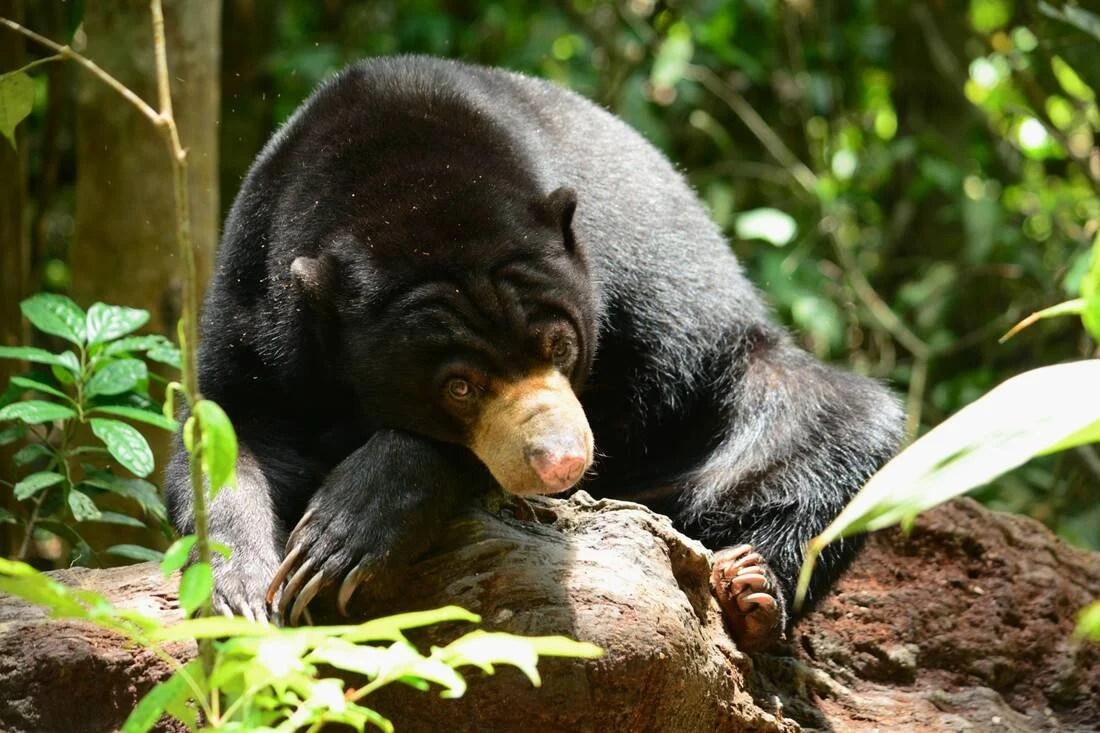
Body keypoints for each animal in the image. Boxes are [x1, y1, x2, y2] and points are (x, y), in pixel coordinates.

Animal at [165, 55, 904, 651]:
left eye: (560, 344)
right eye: (459, 385)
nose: (563, 461)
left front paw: (342, 539)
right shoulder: (252, 303)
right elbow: (227, 432)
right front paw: (241, 592)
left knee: (841, 432)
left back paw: (749, 590)